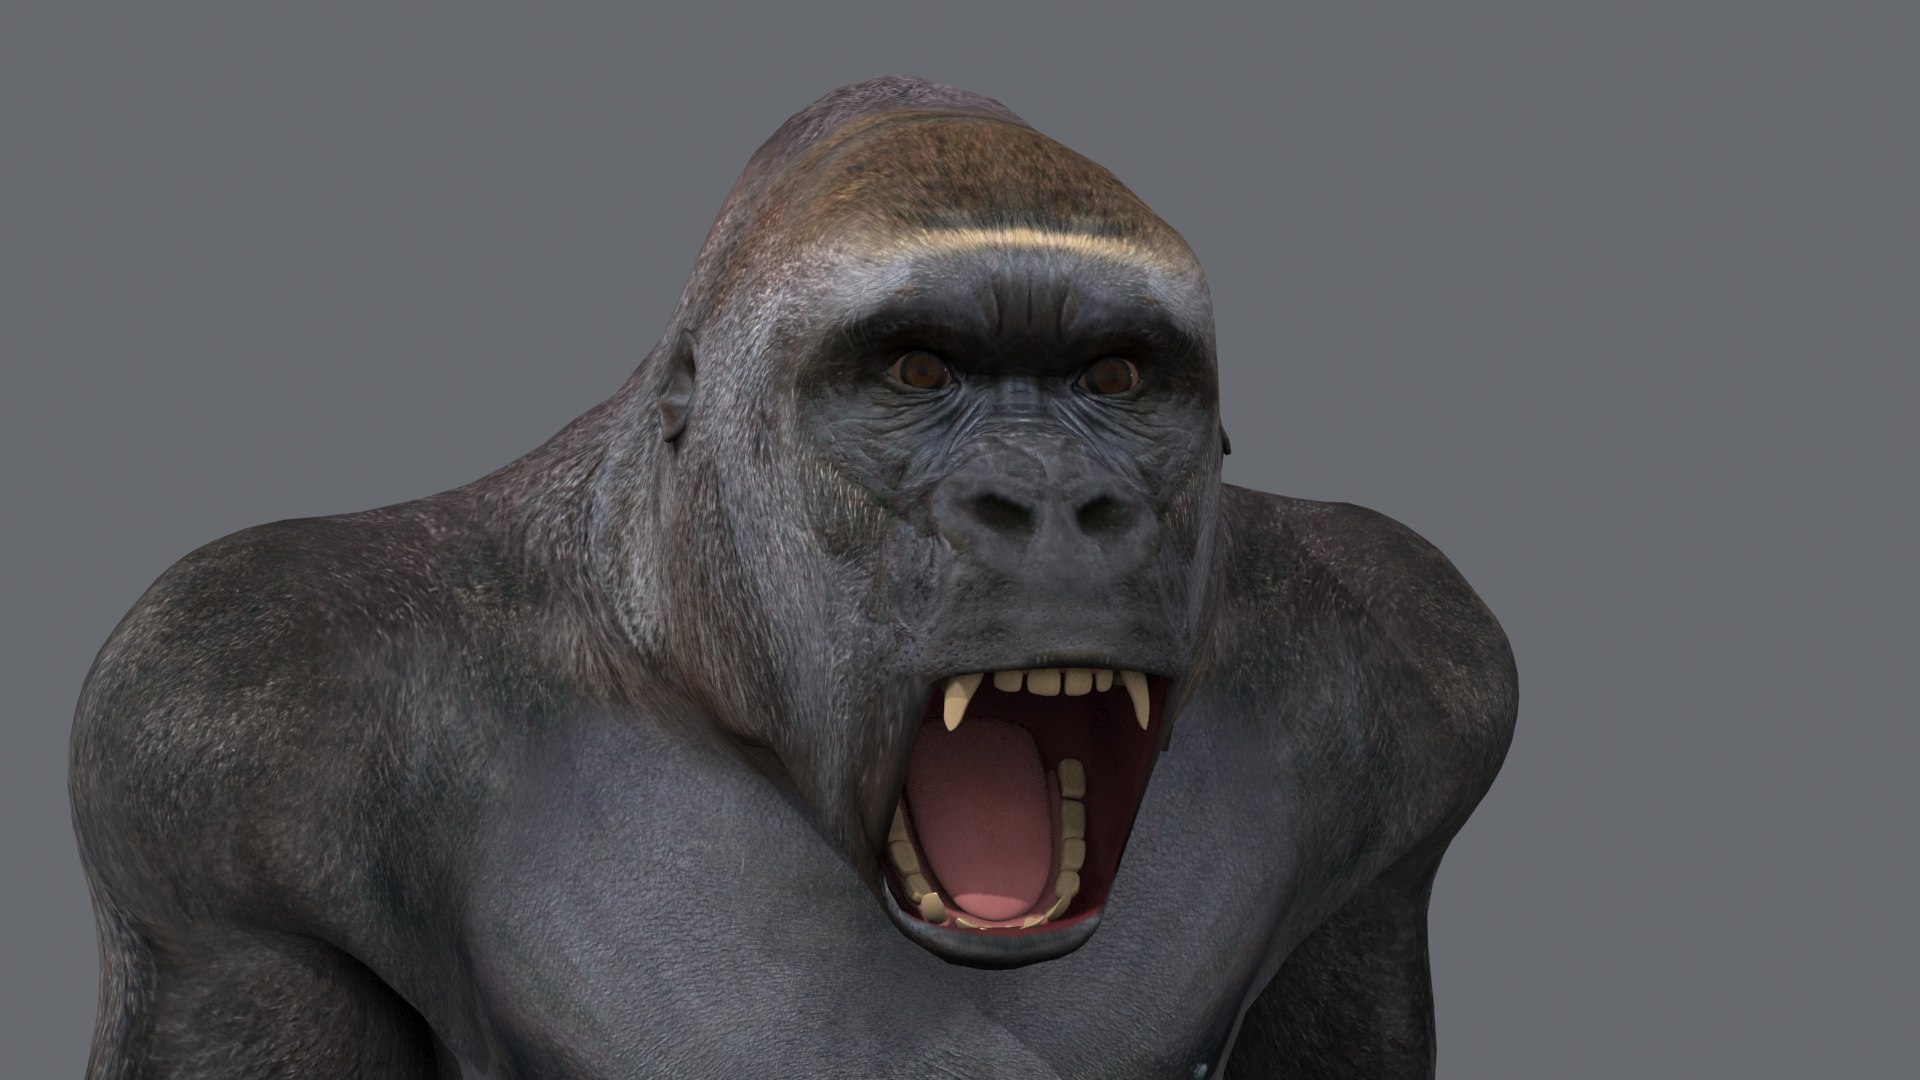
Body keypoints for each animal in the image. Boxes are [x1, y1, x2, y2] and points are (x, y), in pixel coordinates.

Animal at [70, 76, 1516, 1078]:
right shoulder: (223, 713)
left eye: (1116, 378)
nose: (1056, 499)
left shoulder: (1413, 659)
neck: (671, 636)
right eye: (918, 370)